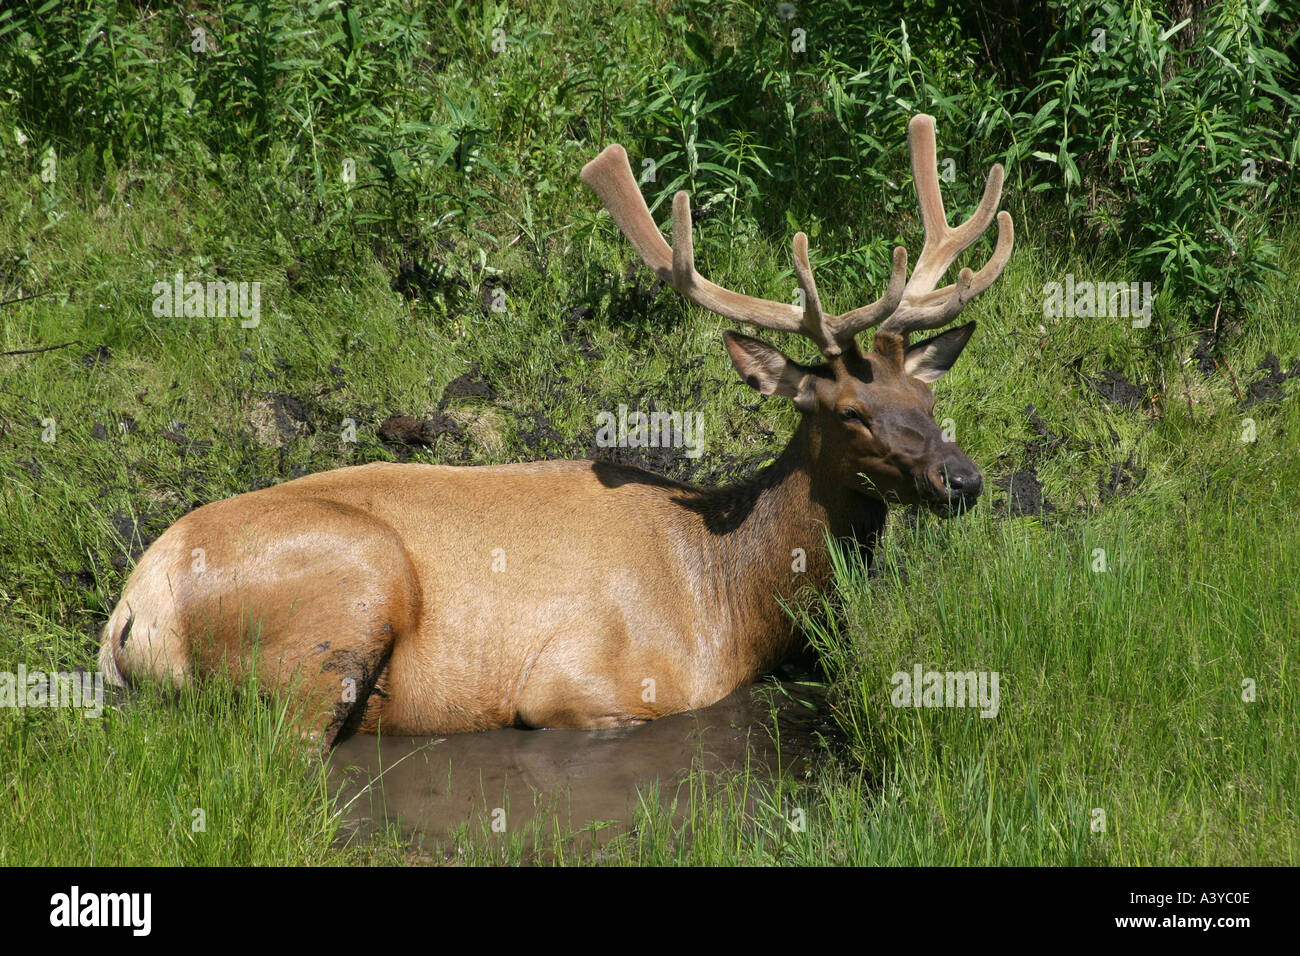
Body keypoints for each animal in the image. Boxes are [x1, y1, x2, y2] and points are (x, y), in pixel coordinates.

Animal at [97, 114, 1012, 747]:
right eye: (850, 412)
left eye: (928, 401)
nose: (963, 479)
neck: (731, 600)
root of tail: (133, 614)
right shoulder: (582, 682)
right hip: (338, 601)